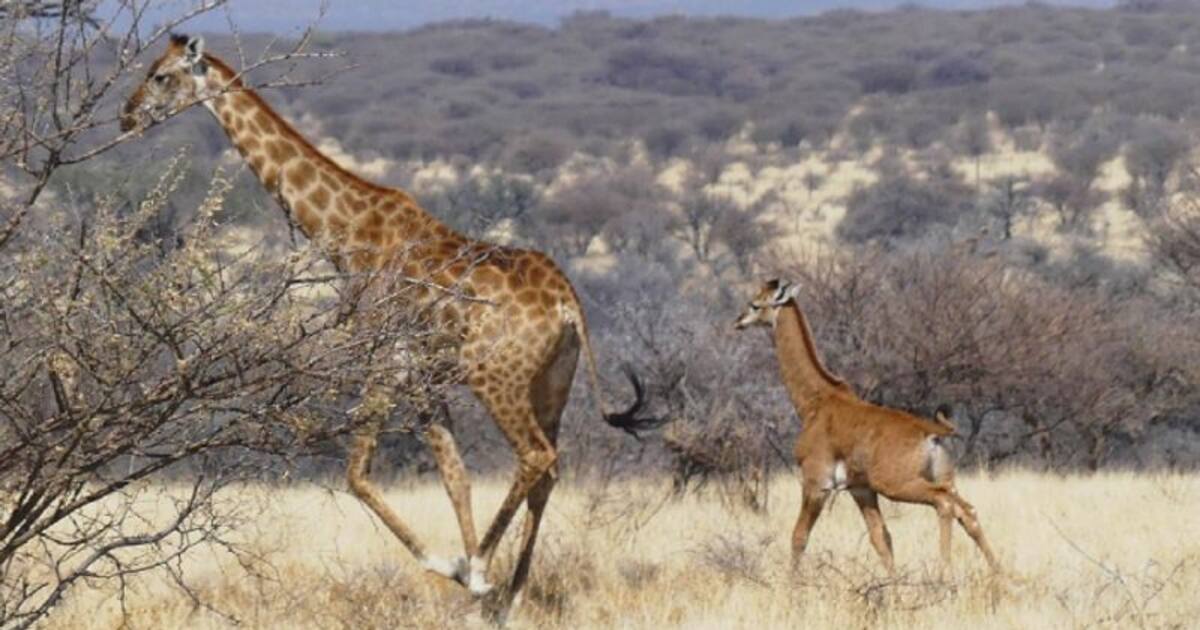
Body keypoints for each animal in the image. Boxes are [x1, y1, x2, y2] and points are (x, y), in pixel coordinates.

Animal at [120, 34, 655, 615]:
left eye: (160, 76)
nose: (126, 117)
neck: (348, 233)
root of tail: (566, 302)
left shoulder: (383, 357)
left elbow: (356, 473)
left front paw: (462, 569)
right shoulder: (422, 373)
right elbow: (455, 475)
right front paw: (472, 584)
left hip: (494, 375)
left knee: (536, 456)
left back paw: (486, 574)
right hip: (552, 382)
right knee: (549, 469)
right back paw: (509, 596)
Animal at [734, 279, 999, 573]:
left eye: (756, 304)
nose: (739, 321)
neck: (818, 401)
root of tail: (933, 433)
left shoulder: (816, 484)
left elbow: (799, 536)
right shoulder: (861, 489)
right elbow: (881, 538)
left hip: (899, 485)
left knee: (945, 504)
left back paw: (944, 575)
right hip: (944, 480)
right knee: (967, 511)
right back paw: (998, 575)